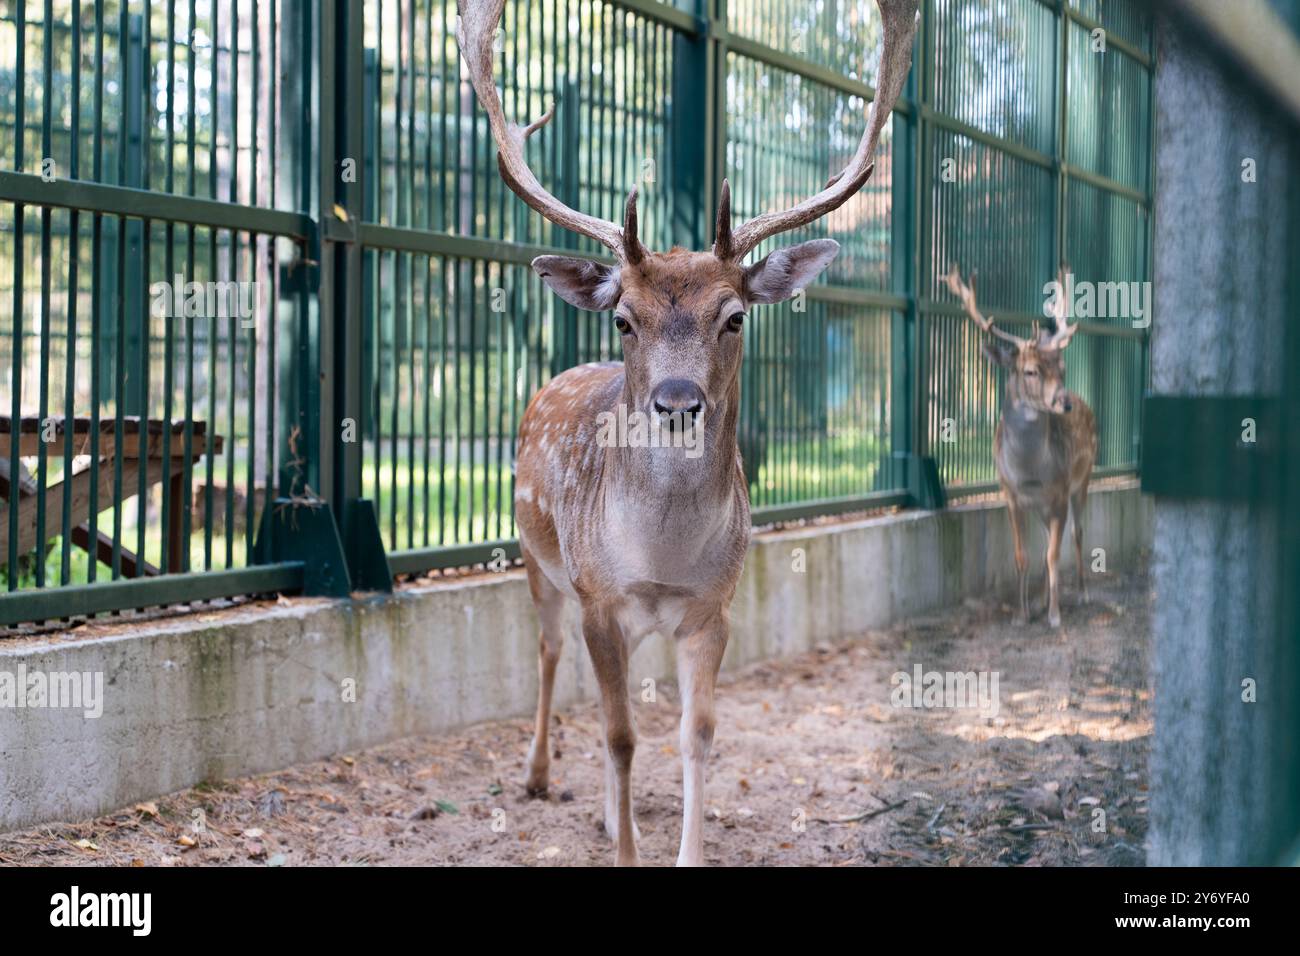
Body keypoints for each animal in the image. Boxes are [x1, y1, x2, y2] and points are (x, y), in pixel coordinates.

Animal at [457, 0, 919, 866]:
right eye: (625, 318)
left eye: (734, 316)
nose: (677, 401)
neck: (662, 558)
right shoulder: (600, 596)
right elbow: (619, 736)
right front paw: (626, 849)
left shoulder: (713, 607)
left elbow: (694, 734)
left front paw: (674, 845)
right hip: (540, 562)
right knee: (549, 652)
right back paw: (540, 777)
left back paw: (609, 813)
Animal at [943, 264, 1099, 629]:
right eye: (1030, 371)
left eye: (1062, 368)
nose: (1064, 403)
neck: (1029, 472)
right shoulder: (1010, 495)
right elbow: (1023, 556)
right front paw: (1021, 613)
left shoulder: (1059, 494)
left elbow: (1054, 554)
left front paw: (1055, 615)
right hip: (1041, 506)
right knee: (1046, 543)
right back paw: (1040, 601)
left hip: (1083, 479)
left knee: (1077, 532)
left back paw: (1082, 593)